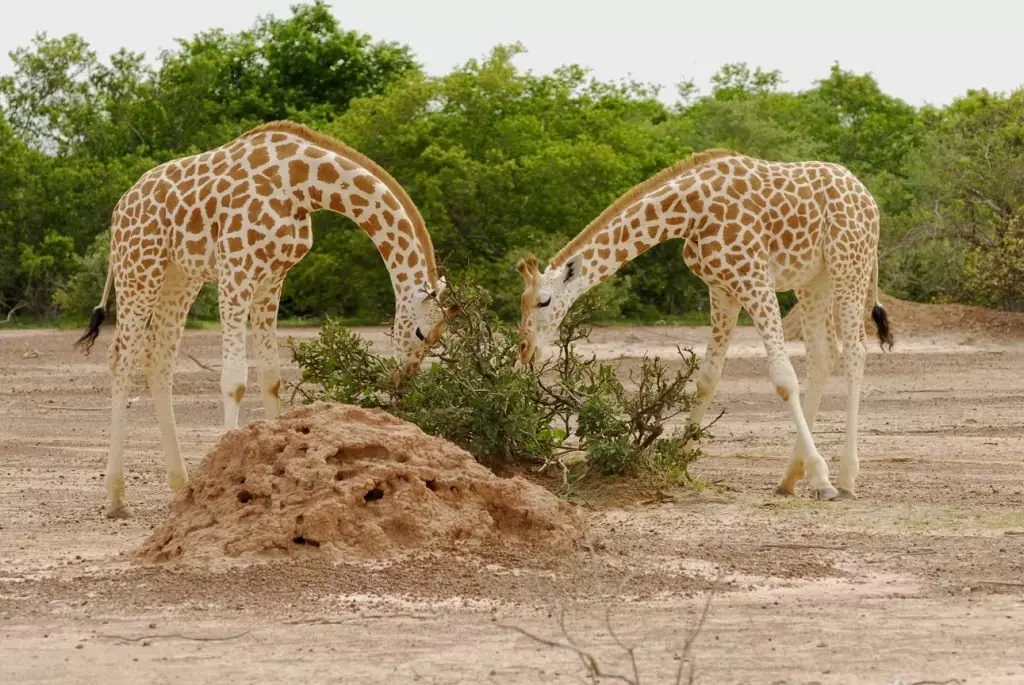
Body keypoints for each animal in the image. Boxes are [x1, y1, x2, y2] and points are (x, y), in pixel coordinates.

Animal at [74, 120, 454, 516]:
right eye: (421, 332)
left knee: (158, 360)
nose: (402, 381)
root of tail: (121, 206)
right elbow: (234, 380)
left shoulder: (272, 278)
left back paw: (180, 486)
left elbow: (271, 378)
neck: (302, 184)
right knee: (122, 357)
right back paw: (117, 497)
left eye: (439, 337)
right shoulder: (236, 269)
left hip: (180, 277)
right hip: (139, 267)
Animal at [516, 149, 892, 499]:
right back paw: (790, 476)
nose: (524, 350)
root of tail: (868, 197)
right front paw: (678, 461)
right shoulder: (721, 288)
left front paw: (822, 477)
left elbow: (783, 378)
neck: (690, 212)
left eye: (543, 301)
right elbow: (707, 379)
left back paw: (844, 479)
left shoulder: (754, 279)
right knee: (824, 353)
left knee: (855, 351)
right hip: (814, 279)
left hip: (849, 264)